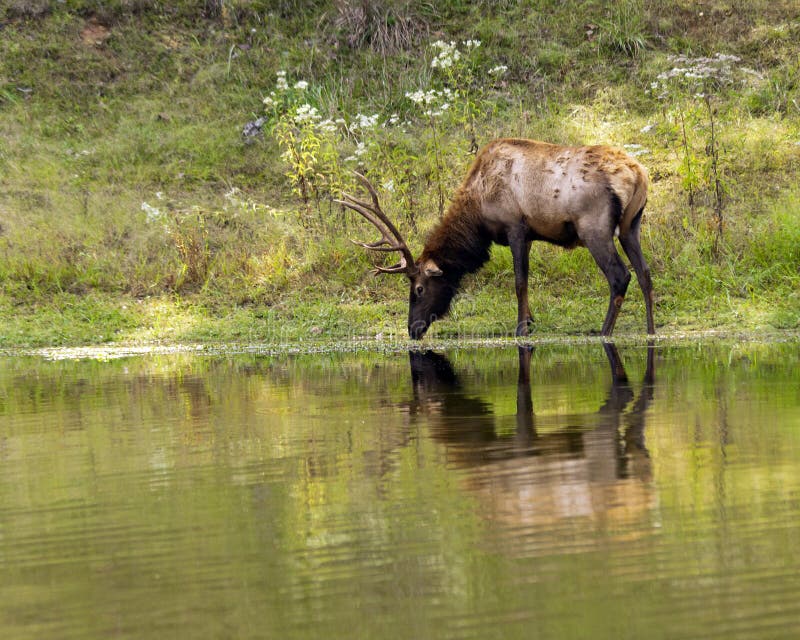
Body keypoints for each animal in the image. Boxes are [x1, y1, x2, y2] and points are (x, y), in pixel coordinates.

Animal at [336, 138, 655, 339]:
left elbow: (519, 281)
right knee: (645, 273)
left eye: (419, 289)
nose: (413, 329)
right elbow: (525, 281)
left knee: (620, 275)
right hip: (632, 226)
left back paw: (603, 332)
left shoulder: (515, 226)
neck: (478, 211)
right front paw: (530, 320)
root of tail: (639, 174)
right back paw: (651, 330)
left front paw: (521, 328)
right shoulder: (529, 235)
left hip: (594, 227)